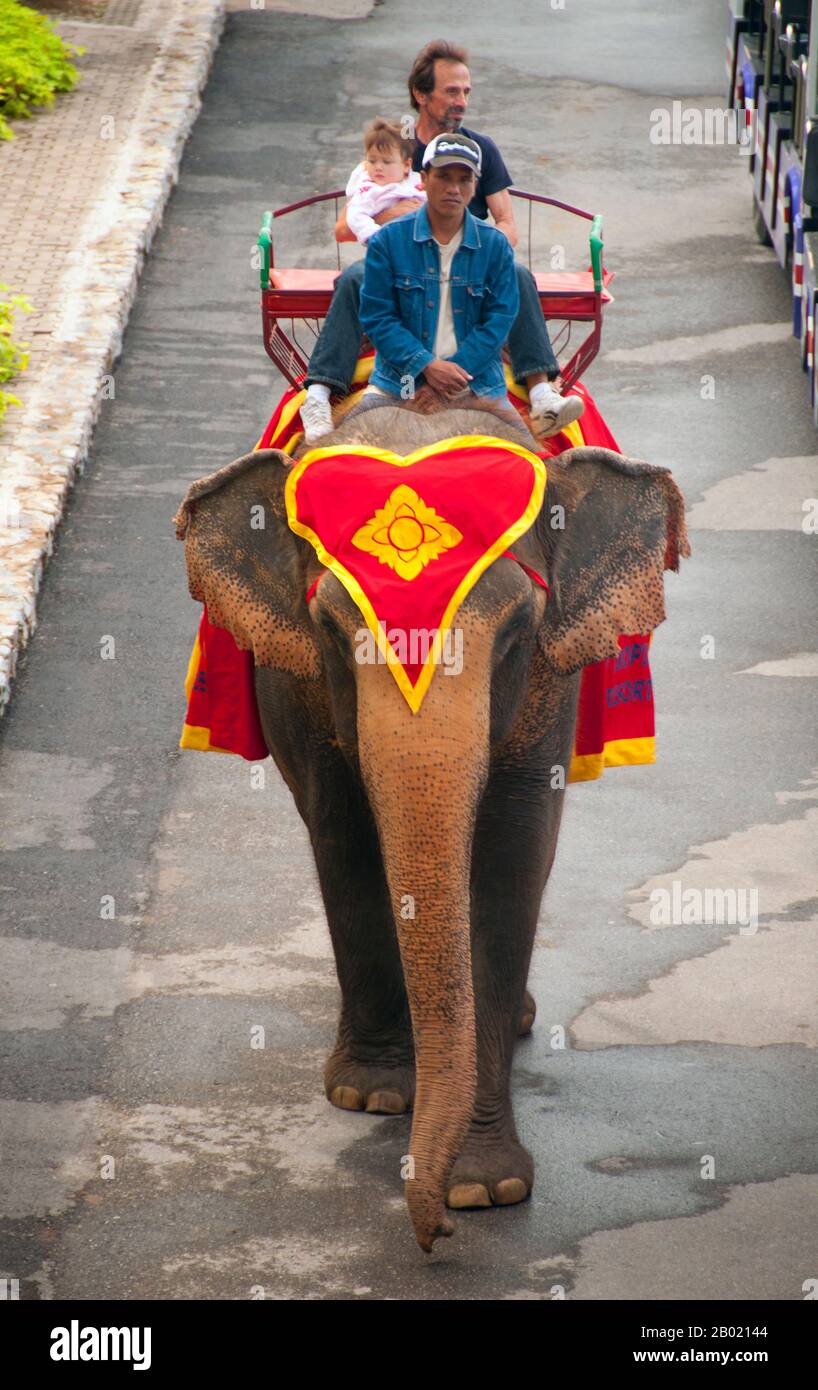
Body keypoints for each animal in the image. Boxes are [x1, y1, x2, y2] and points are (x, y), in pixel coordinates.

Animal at [174, 394, 689, 1254]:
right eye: (329, 629)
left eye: (515, 632)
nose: (434, 1233)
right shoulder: (301, 692)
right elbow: (343, 836)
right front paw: (375, 1096)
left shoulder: (549, 689)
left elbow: (512, 864)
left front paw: (484, 1187)